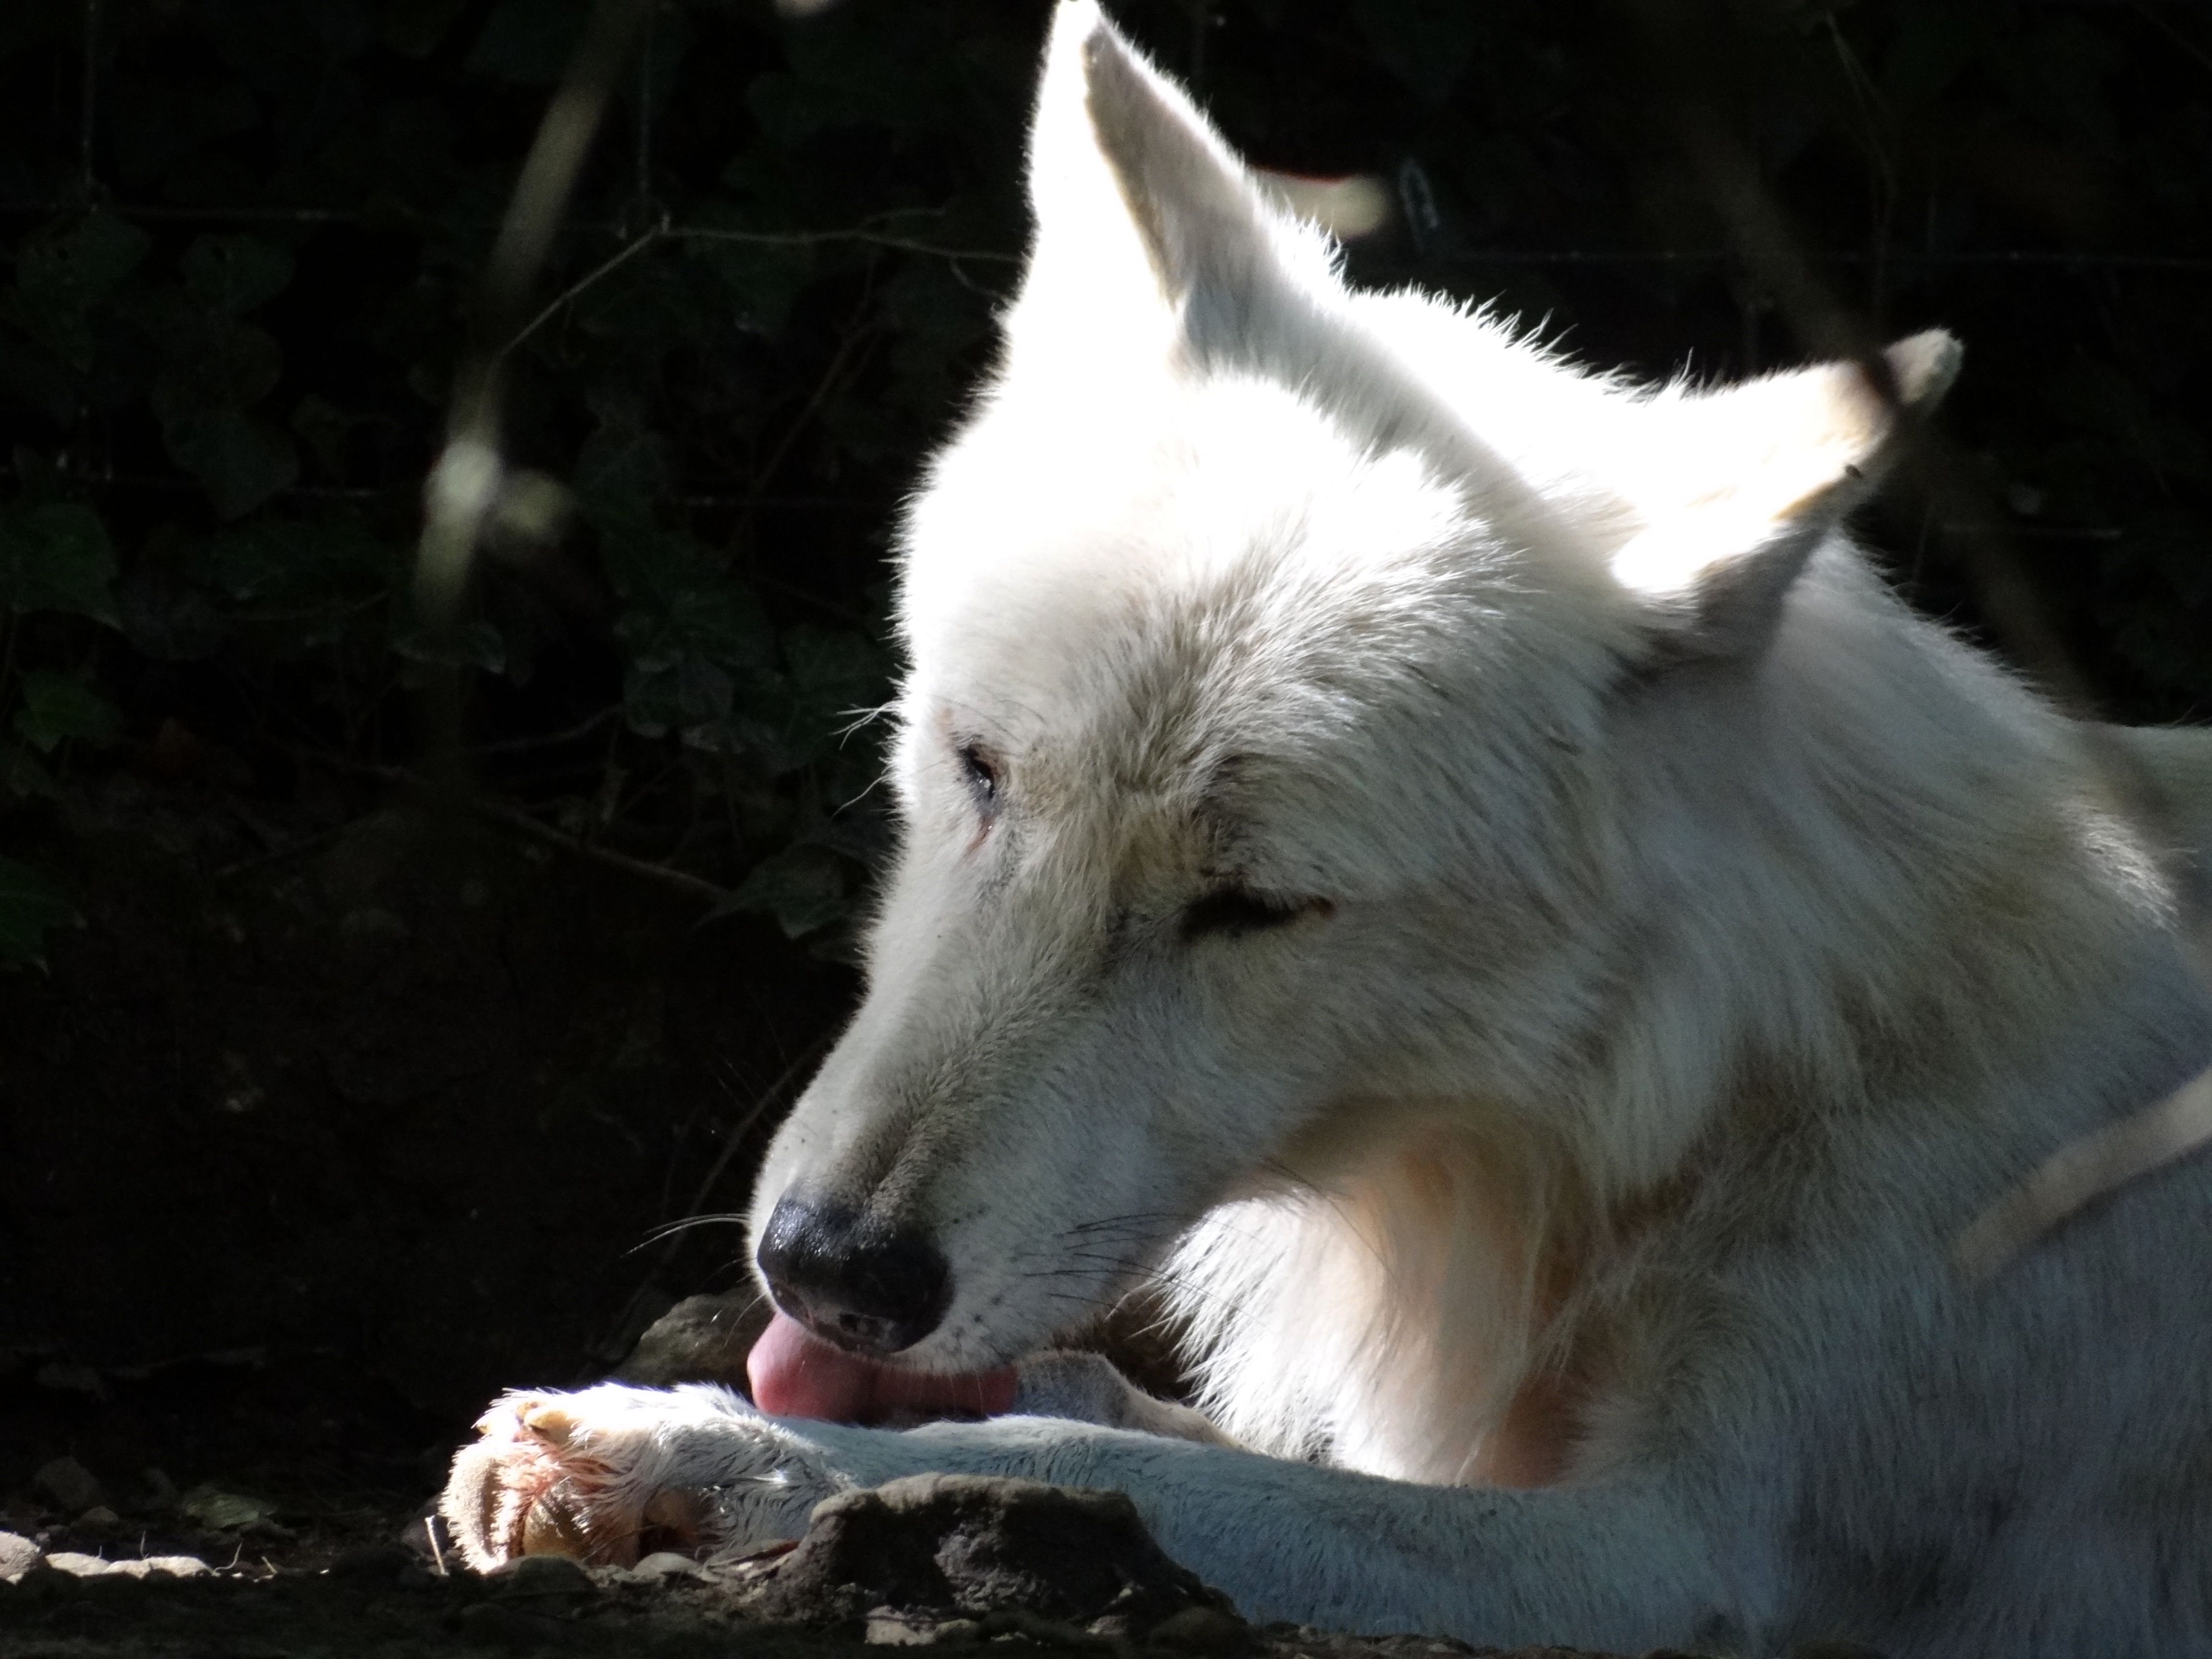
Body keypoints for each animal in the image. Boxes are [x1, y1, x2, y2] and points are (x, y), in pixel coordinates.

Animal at [441, 6, 2212, 1653]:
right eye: (981, 769)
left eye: (1254, 904)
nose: (832, 1269)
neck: (1735, 1073)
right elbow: (1098, 1415)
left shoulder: (1665, 1556)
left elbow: (1086, 1460)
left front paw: (708, 1445)